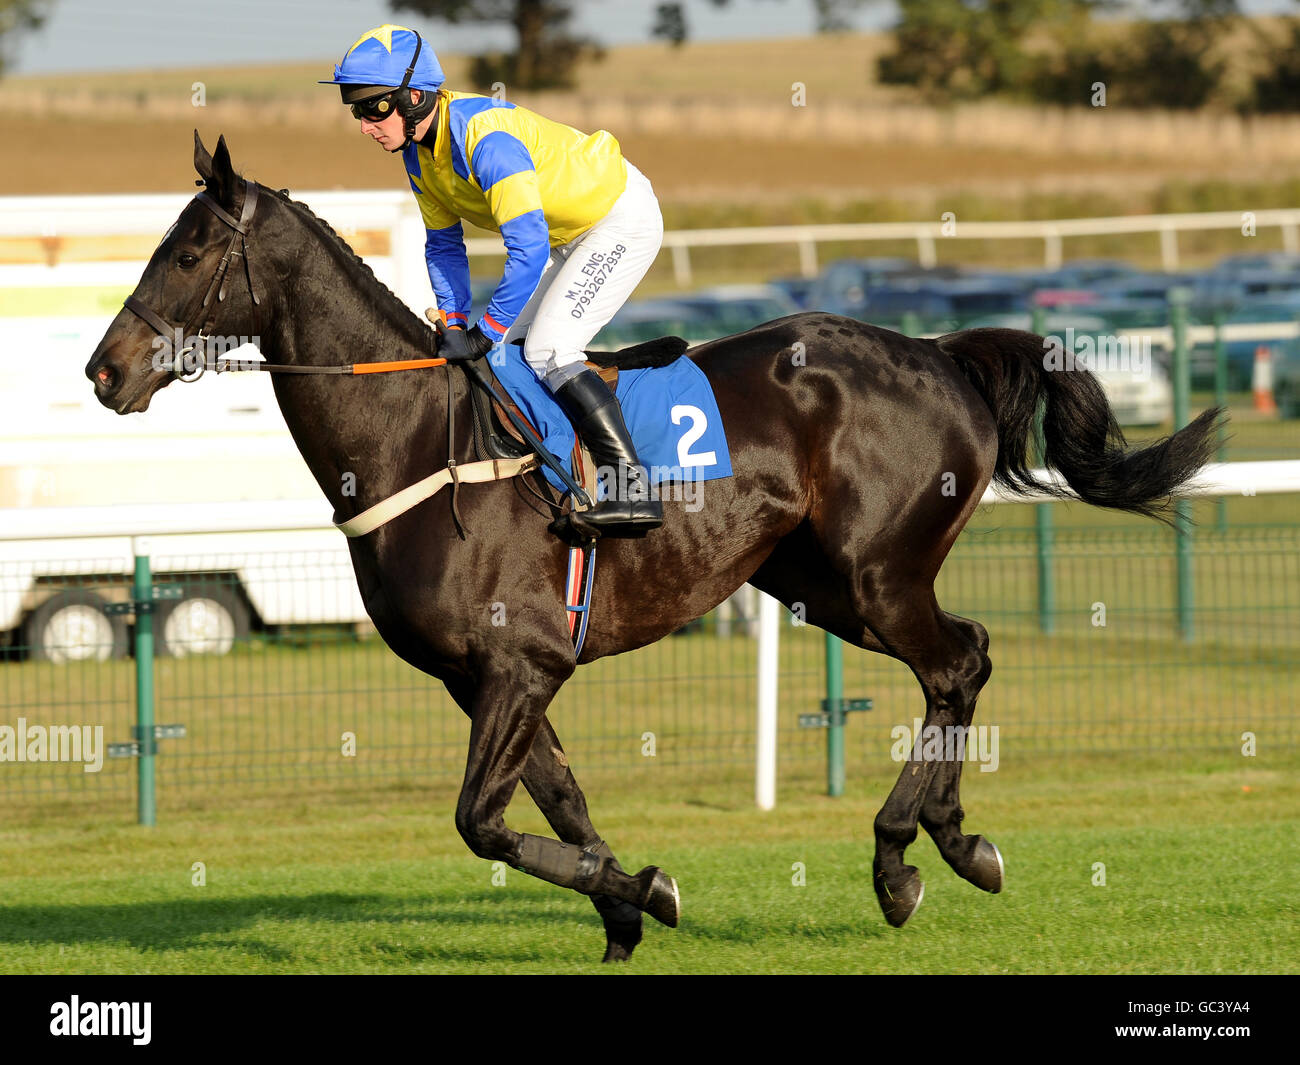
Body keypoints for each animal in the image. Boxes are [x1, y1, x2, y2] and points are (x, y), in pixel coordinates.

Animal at [86, 134, 1222, 962]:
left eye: (187, 252)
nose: (106, 370)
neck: (413, 438)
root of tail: (938, 350)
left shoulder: (520, 661)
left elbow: (480, 821)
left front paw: (647, 891)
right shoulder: (490, 676)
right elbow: (557, 801)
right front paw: (624, 906)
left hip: (876, 572)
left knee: (954, 664)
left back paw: (903, 858)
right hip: (821, 584)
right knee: (968, 655)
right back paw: (955, 839)